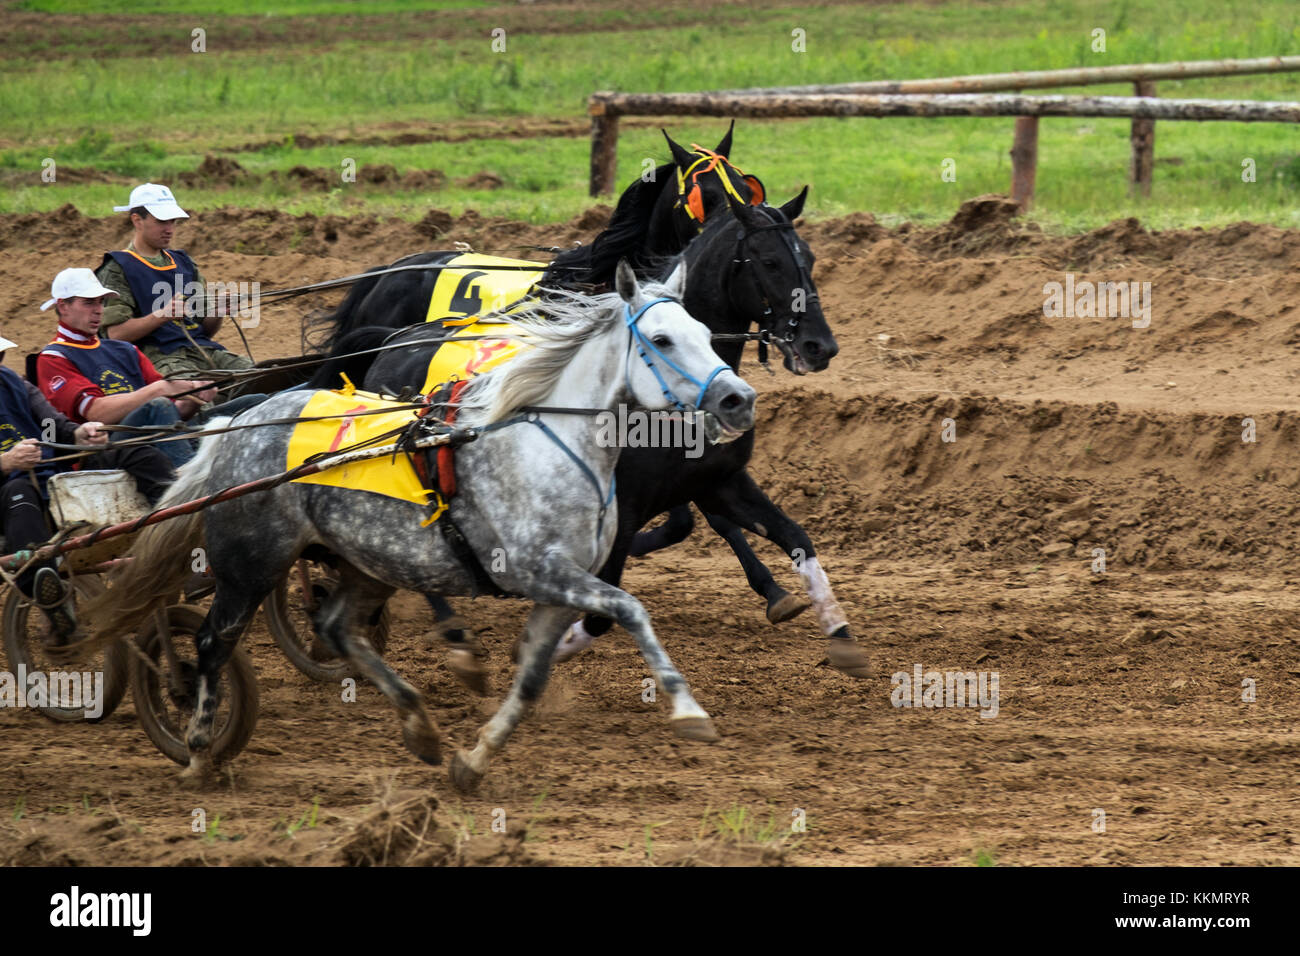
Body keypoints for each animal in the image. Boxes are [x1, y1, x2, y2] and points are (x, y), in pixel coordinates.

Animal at [85, 261, 757, 792]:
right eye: (663, 339)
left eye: (706, 333)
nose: (738, 400)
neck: (549, 441)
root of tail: (234, 427)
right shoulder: (542, 572)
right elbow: (632, 610)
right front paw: (688, 710)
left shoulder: (558, 590)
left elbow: (533, 680)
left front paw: (474, 759)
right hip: (250, 565)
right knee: (210, 644)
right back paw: (198, 749)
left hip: (368, 562)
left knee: (336, 627)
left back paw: (419, 725)